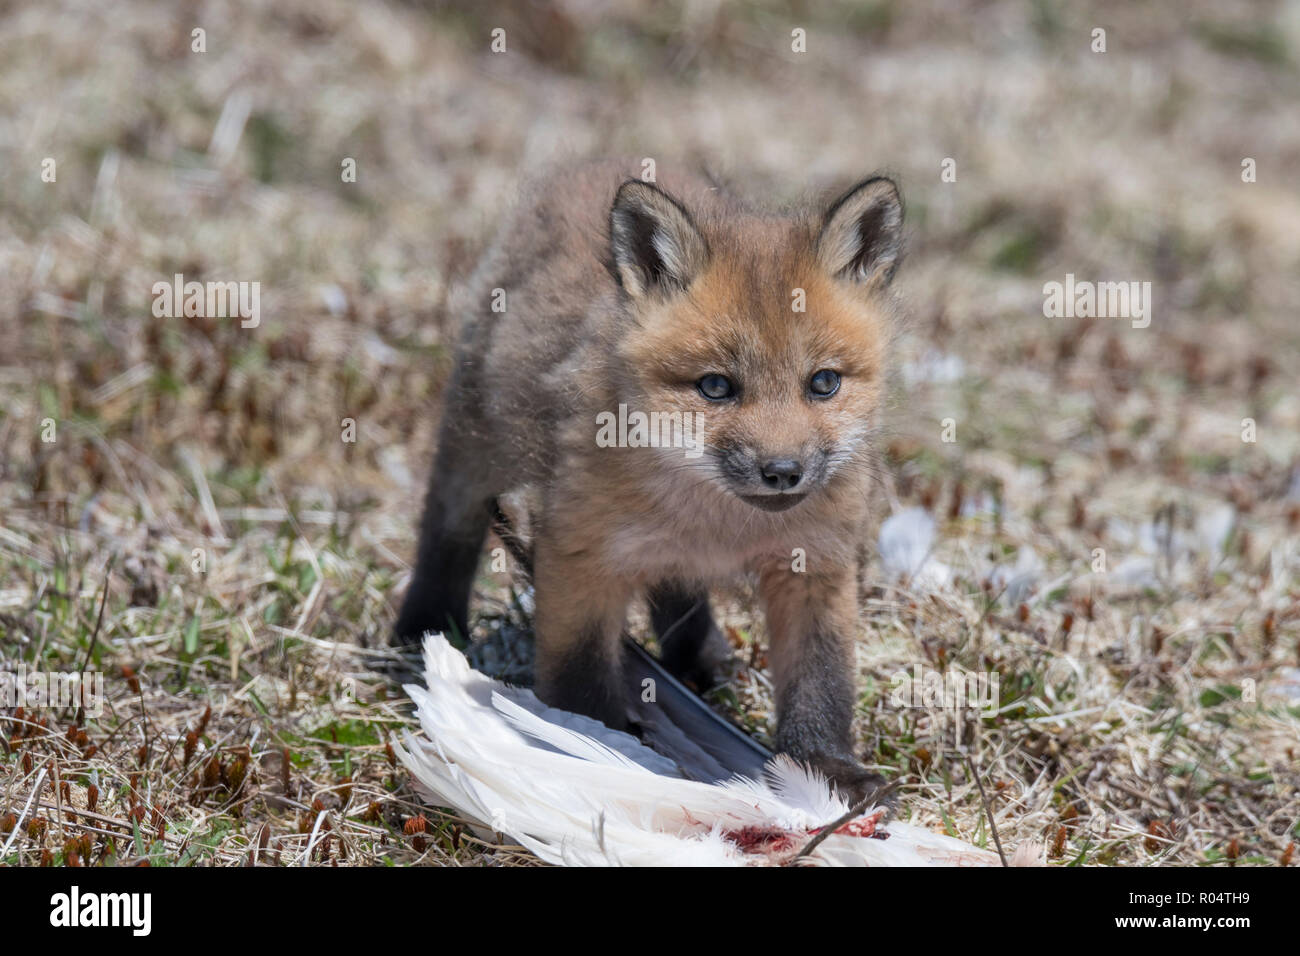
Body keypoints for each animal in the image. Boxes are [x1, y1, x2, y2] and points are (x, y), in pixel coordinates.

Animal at [394, 159, 904, 803]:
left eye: (824, 383)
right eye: (716, 387)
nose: (783, 472)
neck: (720, 525)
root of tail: (590, 165)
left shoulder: (816, 564)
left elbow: (822, 680)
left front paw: (825, 772)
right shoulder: (577, 552)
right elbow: (580, 673)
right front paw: (595, 746)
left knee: (677, 590)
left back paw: (699, 662)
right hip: (472, 449)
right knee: (445, 530)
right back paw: (423, 627)